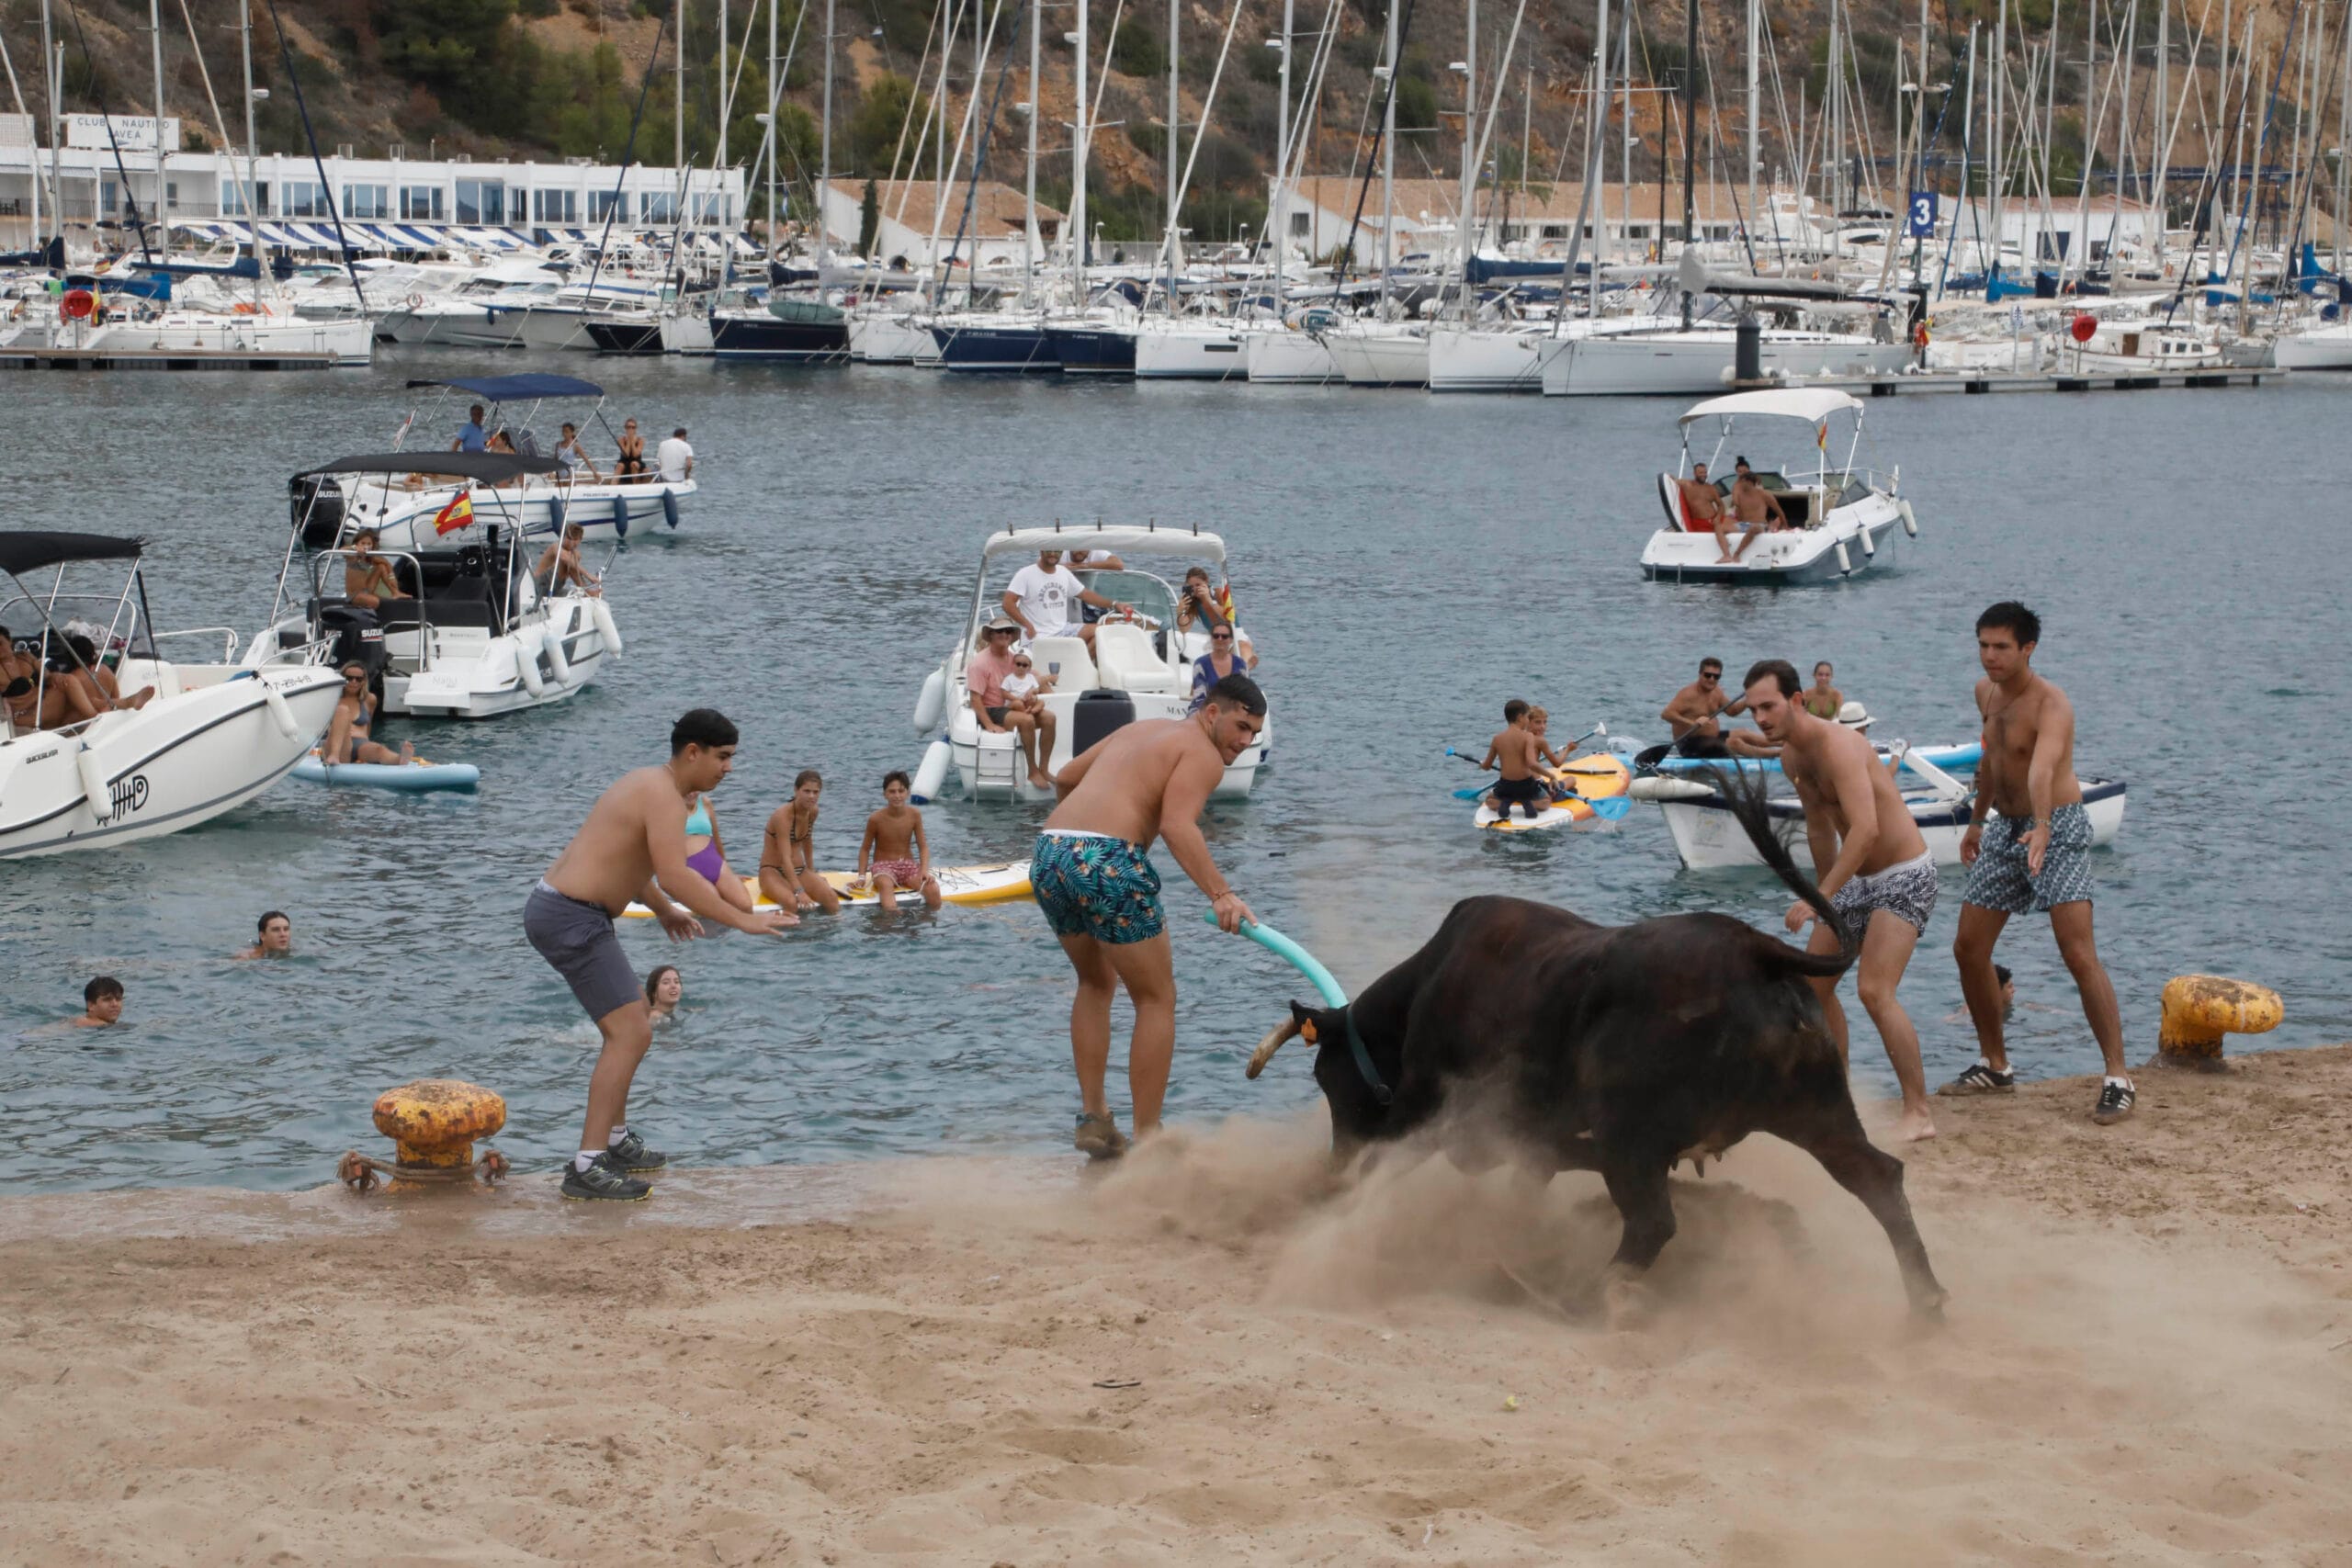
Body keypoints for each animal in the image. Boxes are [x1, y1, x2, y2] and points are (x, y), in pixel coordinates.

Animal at [1245, 772, 1947, 1319]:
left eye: (1327, 1077)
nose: (1333, 1163)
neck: (1425, 986)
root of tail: (1754, 949)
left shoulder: (1438, 1115)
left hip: (1631, 1136)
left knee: (1652, 1223)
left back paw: (1585, 1294)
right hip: (1814, 1110)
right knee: (1878, 1179)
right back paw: (1925, 1306)